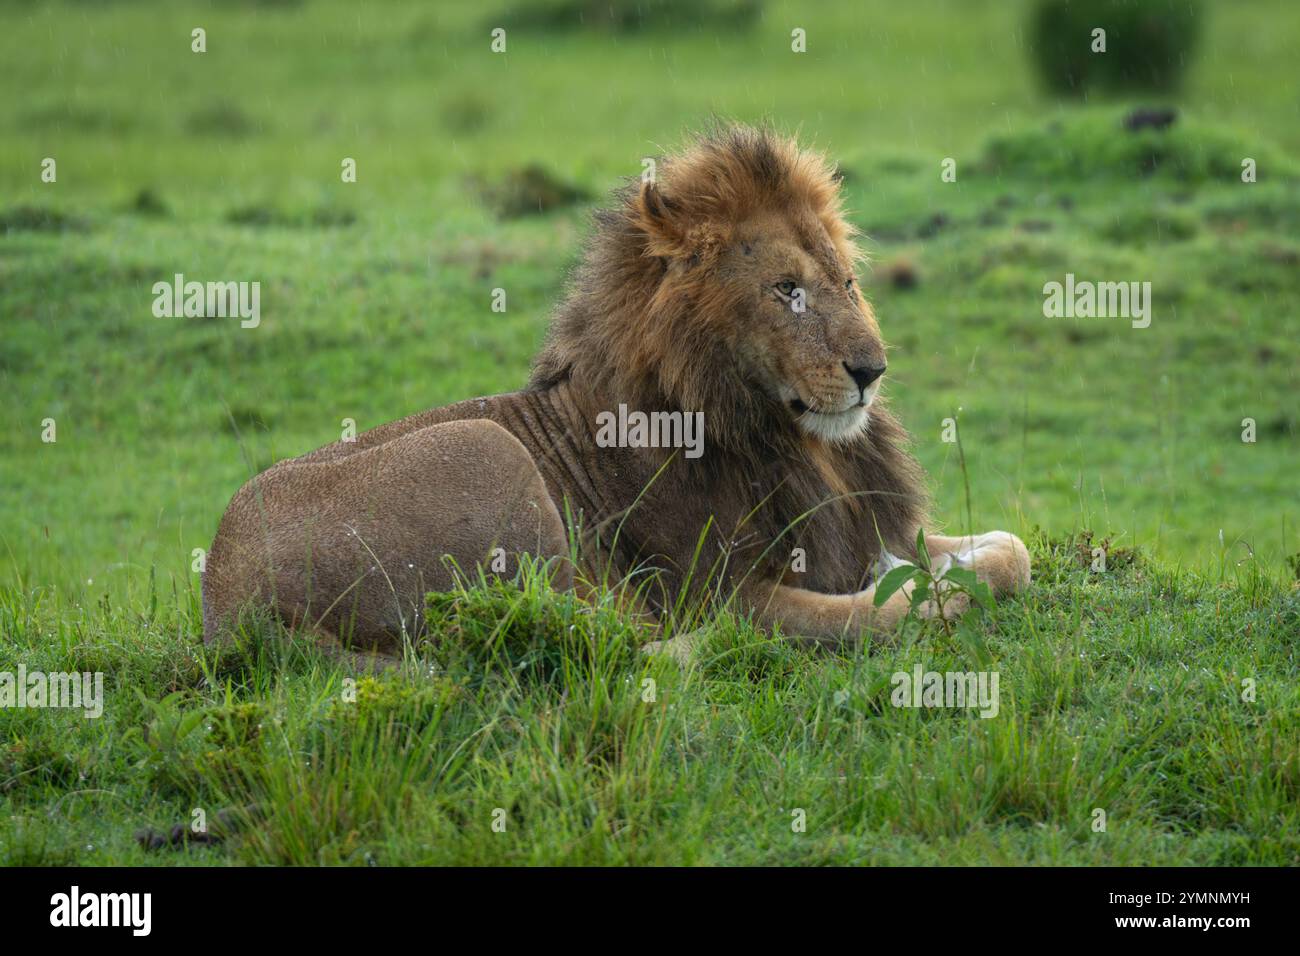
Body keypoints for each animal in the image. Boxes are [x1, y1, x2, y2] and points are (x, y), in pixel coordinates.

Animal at [202, 125, 1030, 663]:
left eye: (848, 282)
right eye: (786, 290)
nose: (871, 370)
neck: (789, 440)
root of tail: (227, 607)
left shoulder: (867, 529)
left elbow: (1010, 552)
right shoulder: (722, 589)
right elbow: (882, 610)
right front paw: (930, 594)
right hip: (485, 449)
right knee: (592, 641)